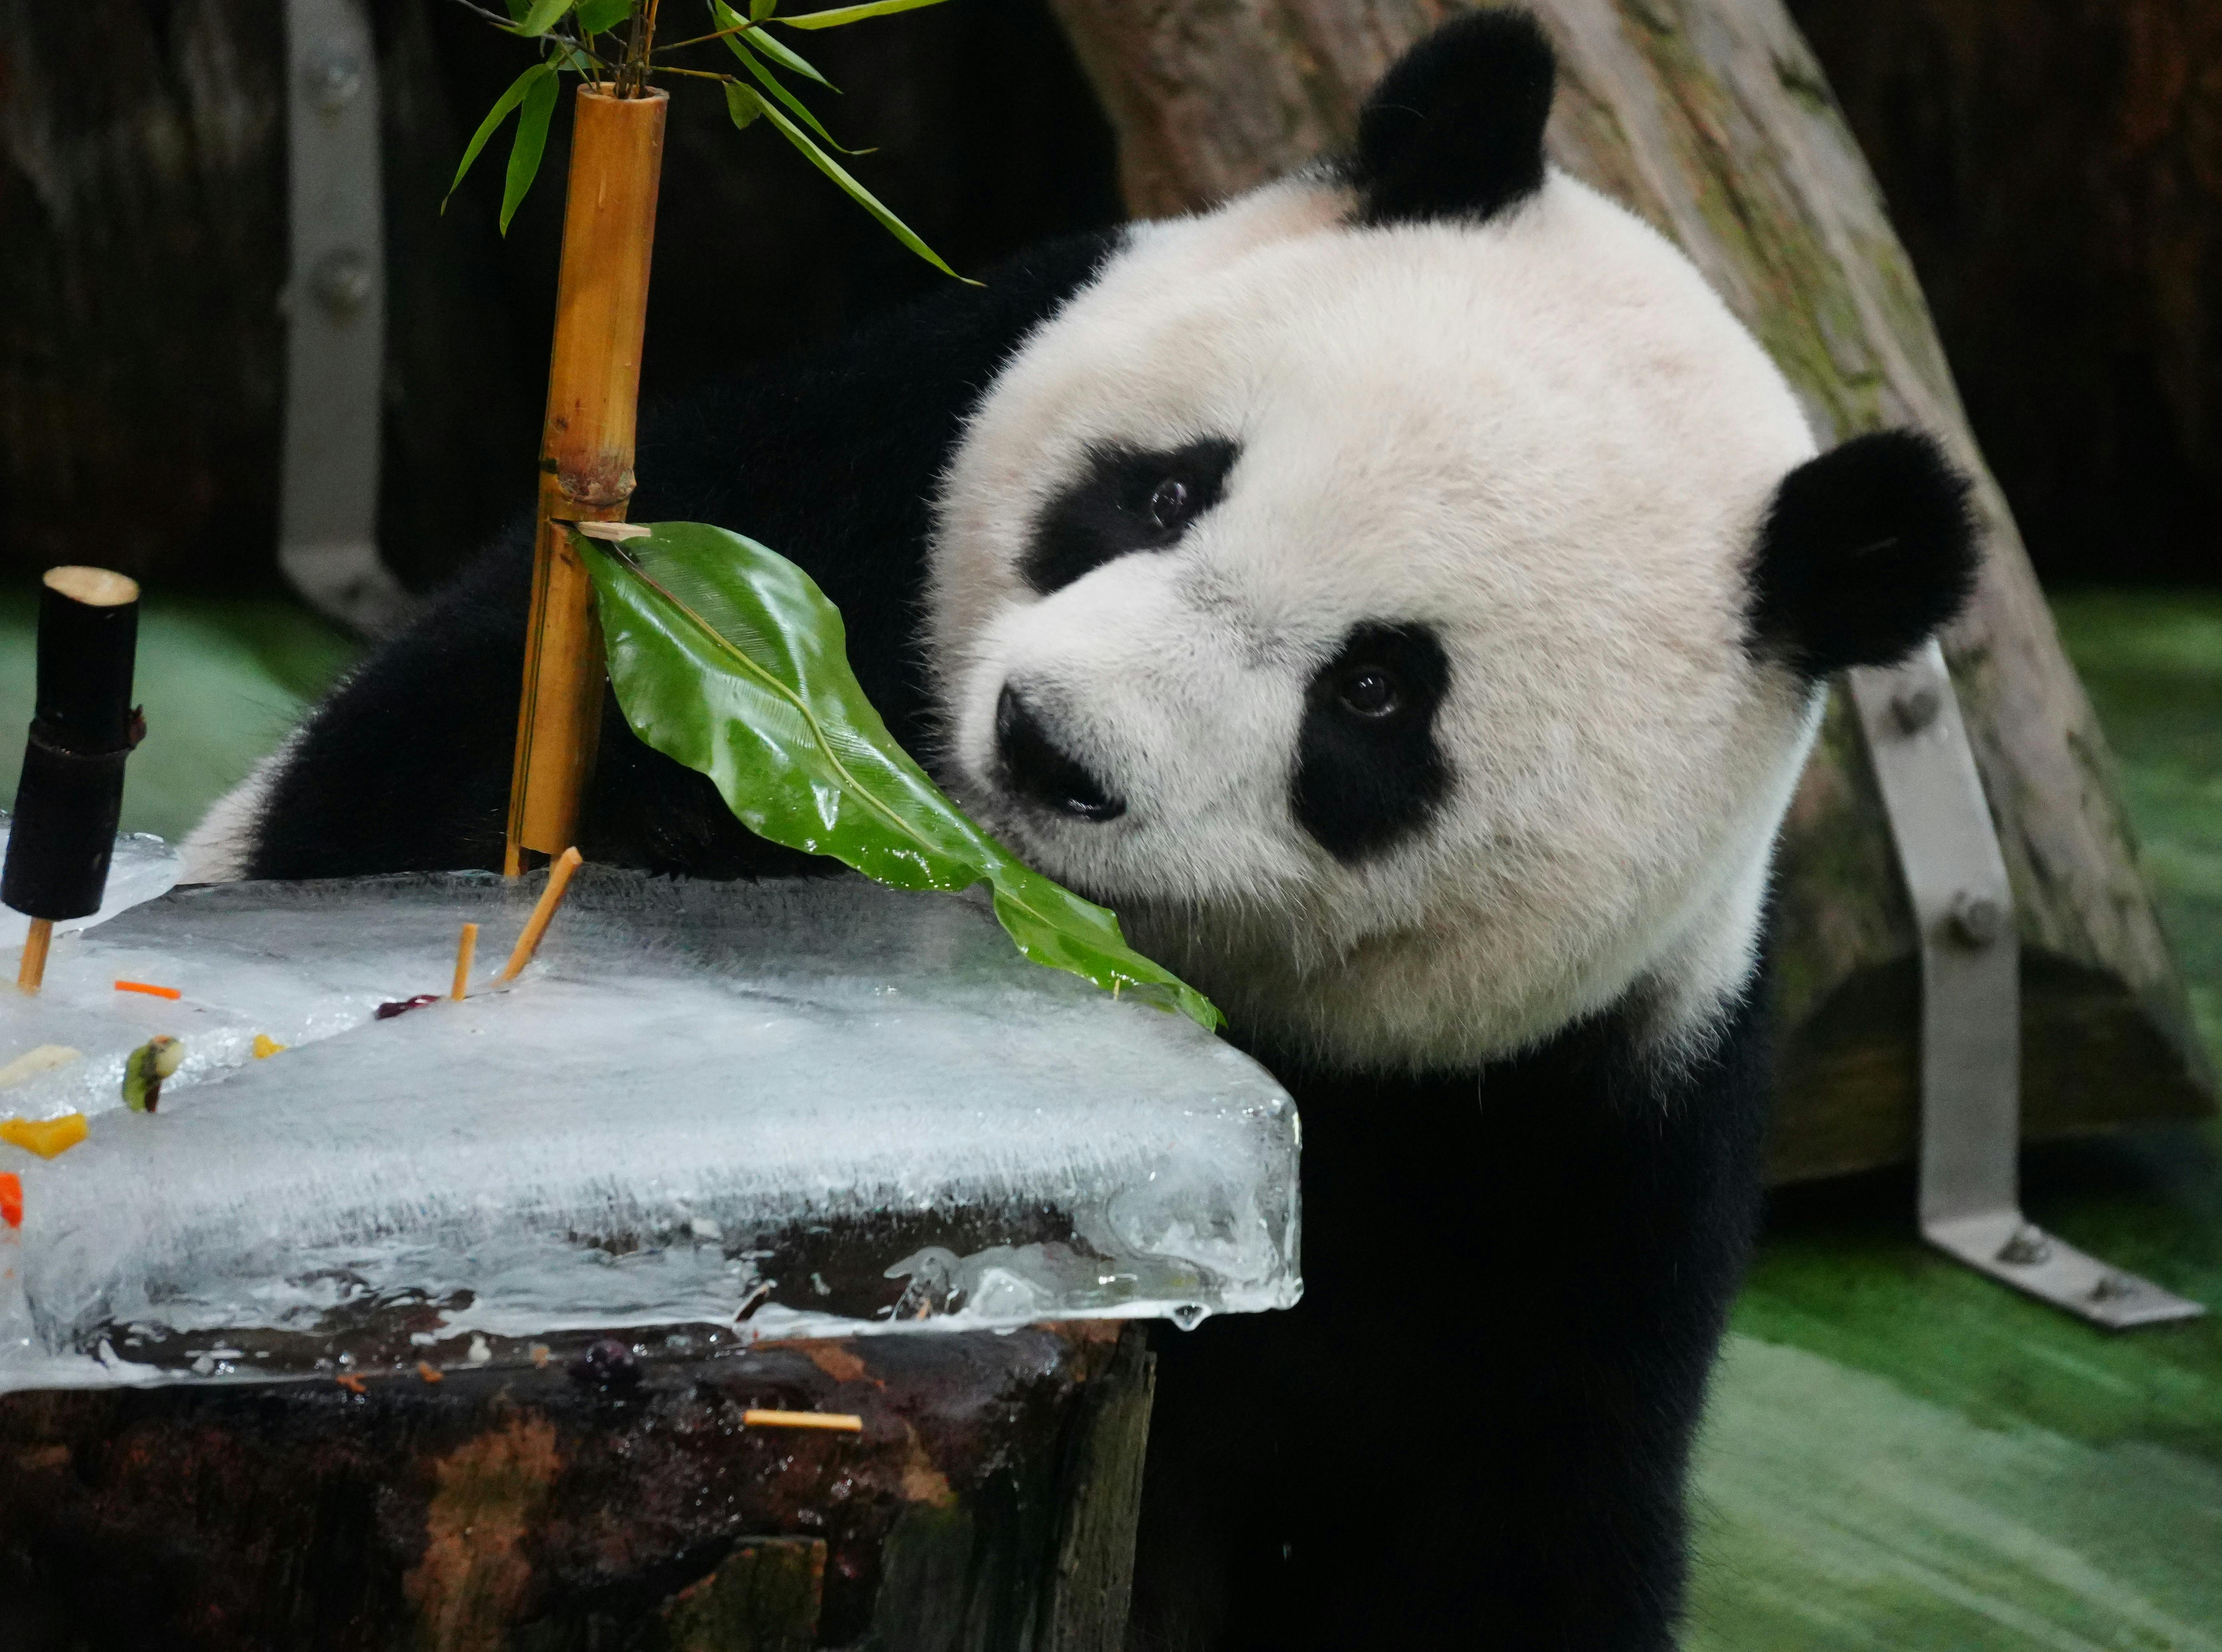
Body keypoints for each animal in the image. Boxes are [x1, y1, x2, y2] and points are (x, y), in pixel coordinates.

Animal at [190, 13, 1976, 1648]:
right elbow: (408, 803)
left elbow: (1510, 1520)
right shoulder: (827, 475)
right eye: (1169, 490)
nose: (1050, 748)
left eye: (1375, 695)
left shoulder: (1565, 1137)